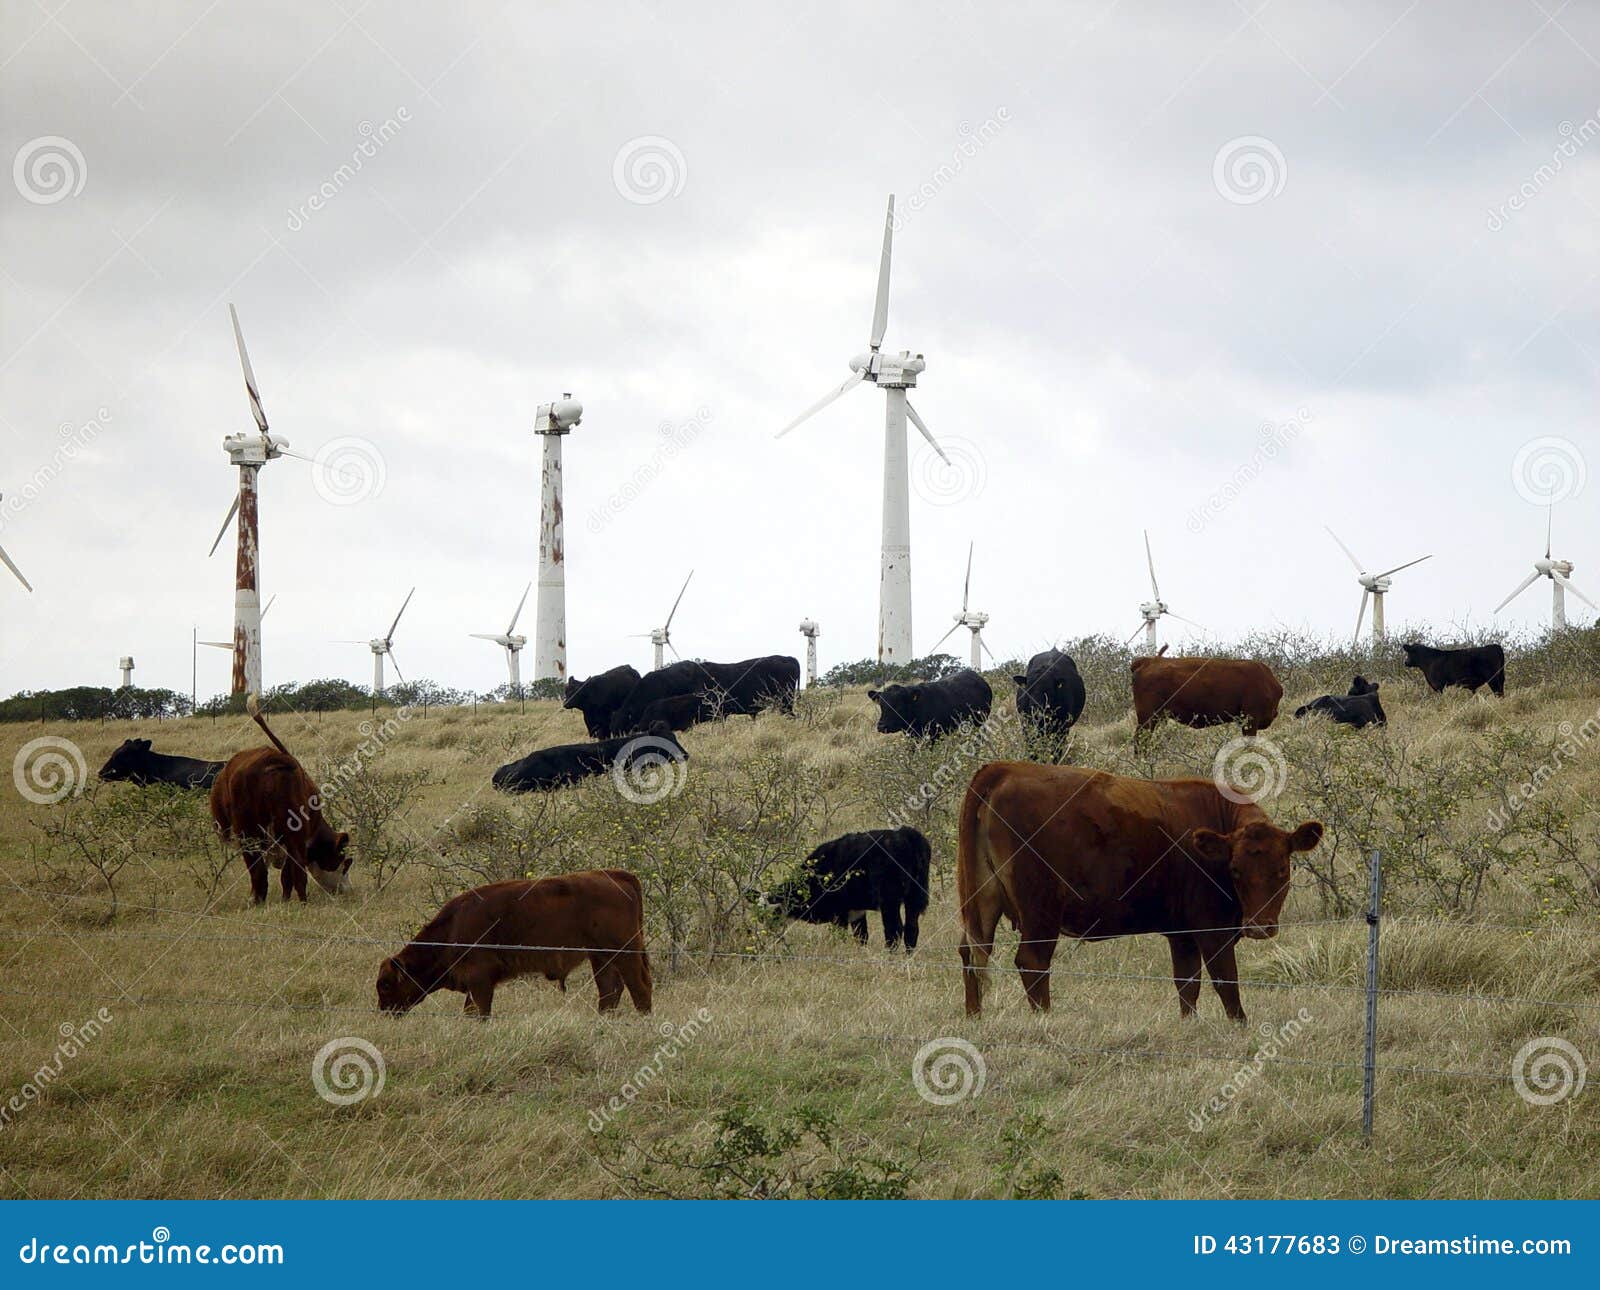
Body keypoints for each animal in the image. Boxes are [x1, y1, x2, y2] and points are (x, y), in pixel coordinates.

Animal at [209, 695, 351, 904]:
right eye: (345, 864)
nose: (347, 889)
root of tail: (278, 760)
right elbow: (288, 875)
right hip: (285, 835)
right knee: (290, 871)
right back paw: (299, 901)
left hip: (250, 833)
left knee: (259, 871)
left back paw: (259, 901)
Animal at [377, 870, 652, 1017]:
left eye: (386, 984)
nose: (383, 1010)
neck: (453, 925)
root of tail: (618, 875)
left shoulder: (479, 981)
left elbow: (477, 1013)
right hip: (601, 957)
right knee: (609, 991)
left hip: (624, 953)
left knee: (639, 988)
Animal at [761, 826, 931, 951]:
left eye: (773, 910)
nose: (767, 927)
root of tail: (906, 835)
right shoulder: (856, 911)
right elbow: (862, 936)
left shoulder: (840, 913)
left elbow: (840, 935)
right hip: (915, 898)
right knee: (911, 929)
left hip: (890, 901)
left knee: (894, 929)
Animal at [956, 761, 1323, 1021]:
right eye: (1235, 870)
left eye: (1282, 869)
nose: (1259, 927)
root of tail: (1005, 768)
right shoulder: (1211, 929)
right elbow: (1226, 983)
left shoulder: (1182, 934)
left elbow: (1187, 986)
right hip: (1040, 909)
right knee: (1032, 961)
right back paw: (1044, 1020)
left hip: (982, 899)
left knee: (972, 953)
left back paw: (975, 1019)